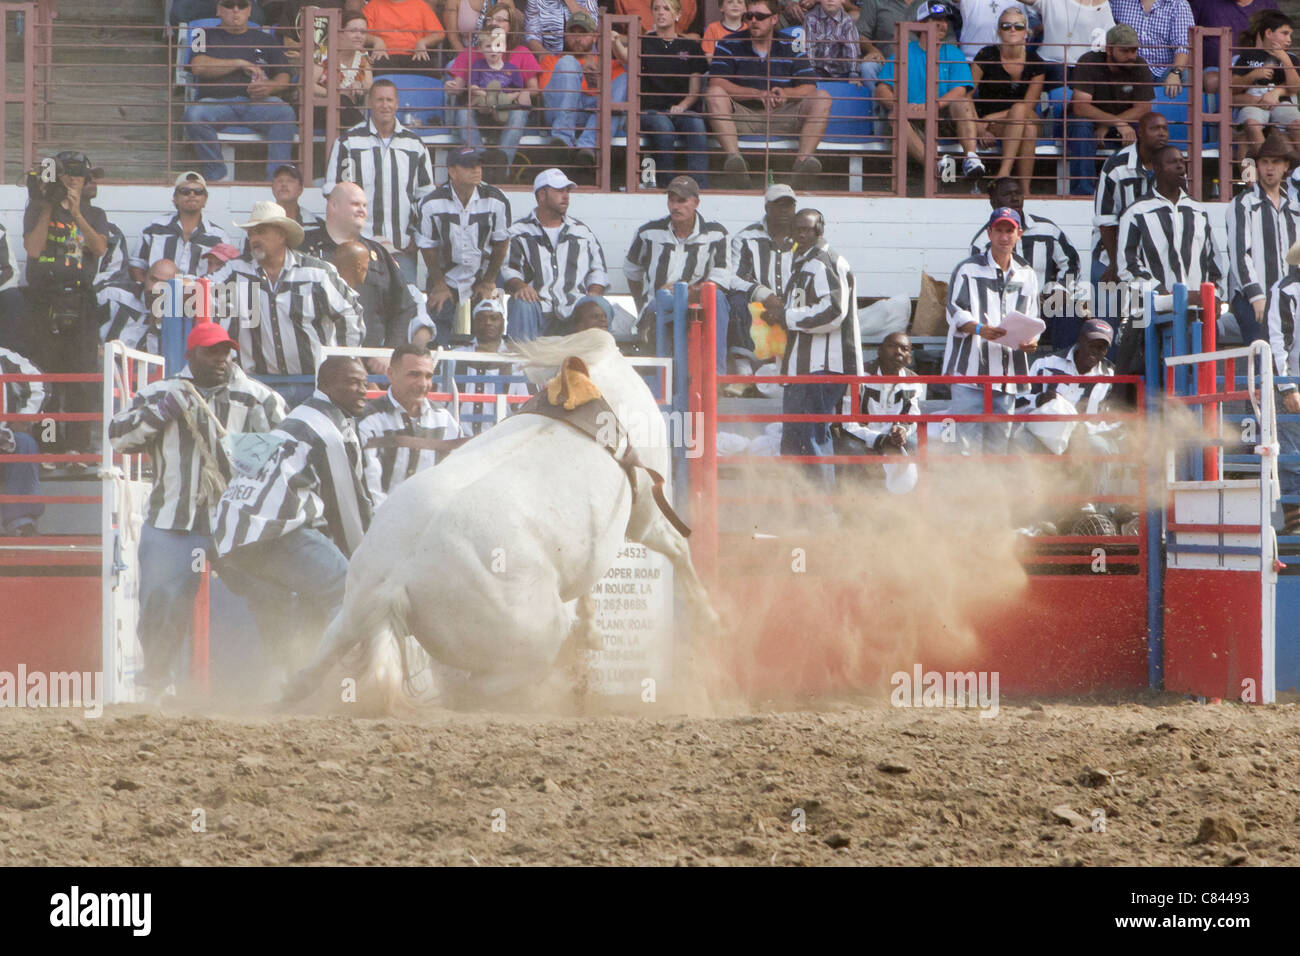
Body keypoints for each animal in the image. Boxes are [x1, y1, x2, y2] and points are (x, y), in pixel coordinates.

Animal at [282, 329, 719, 711]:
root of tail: (396, 583)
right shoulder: (643, 512)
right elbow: (676, 547)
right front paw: (709, 617)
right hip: (533, 639)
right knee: (480, 687)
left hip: (352, 611)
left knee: (315, 666)